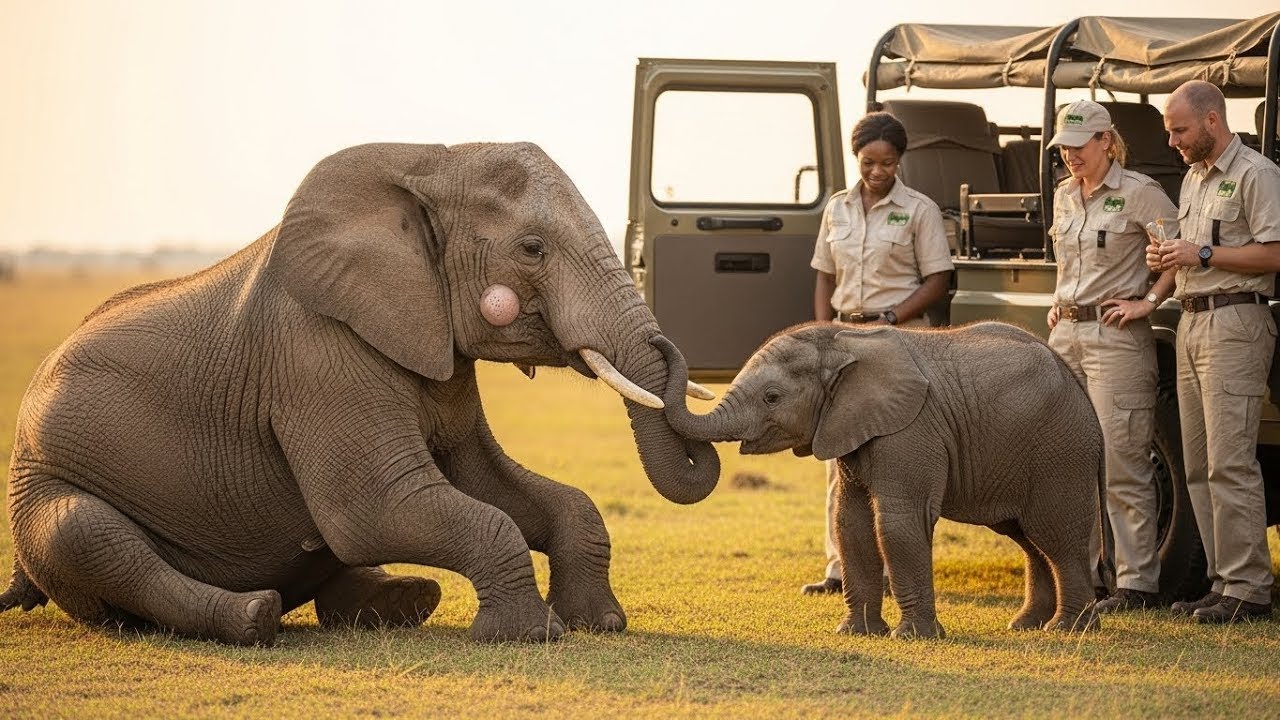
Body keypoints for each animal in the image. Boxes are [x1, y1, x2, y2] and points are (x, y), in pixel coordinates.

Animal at [0, 142, 721, 646]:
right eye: (532, 248)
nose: (670, 355)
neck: (429, 161)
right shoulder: (316, 355)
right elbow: (376, 507)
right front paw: (530, 637)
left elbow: (497, 487)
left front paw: (600, 625)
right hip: (45, 487)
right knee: (93, 539)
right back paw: (254, 618)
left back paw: (403, 603)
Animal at [652, 321, 1105, 638]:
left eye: (772, 398)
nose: (658, 340)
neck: (842, 342)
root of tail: (1079, 384)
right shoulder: (850, 427)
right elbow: (850, 523)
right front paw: (856, 634)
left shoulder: (910, 429)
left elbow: (898, 523)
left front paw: (913, 638)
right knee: (1027, 538)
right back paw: (1026, 625)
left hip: (1060, 451)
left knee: (1054, 535)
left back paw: (1067, 629)